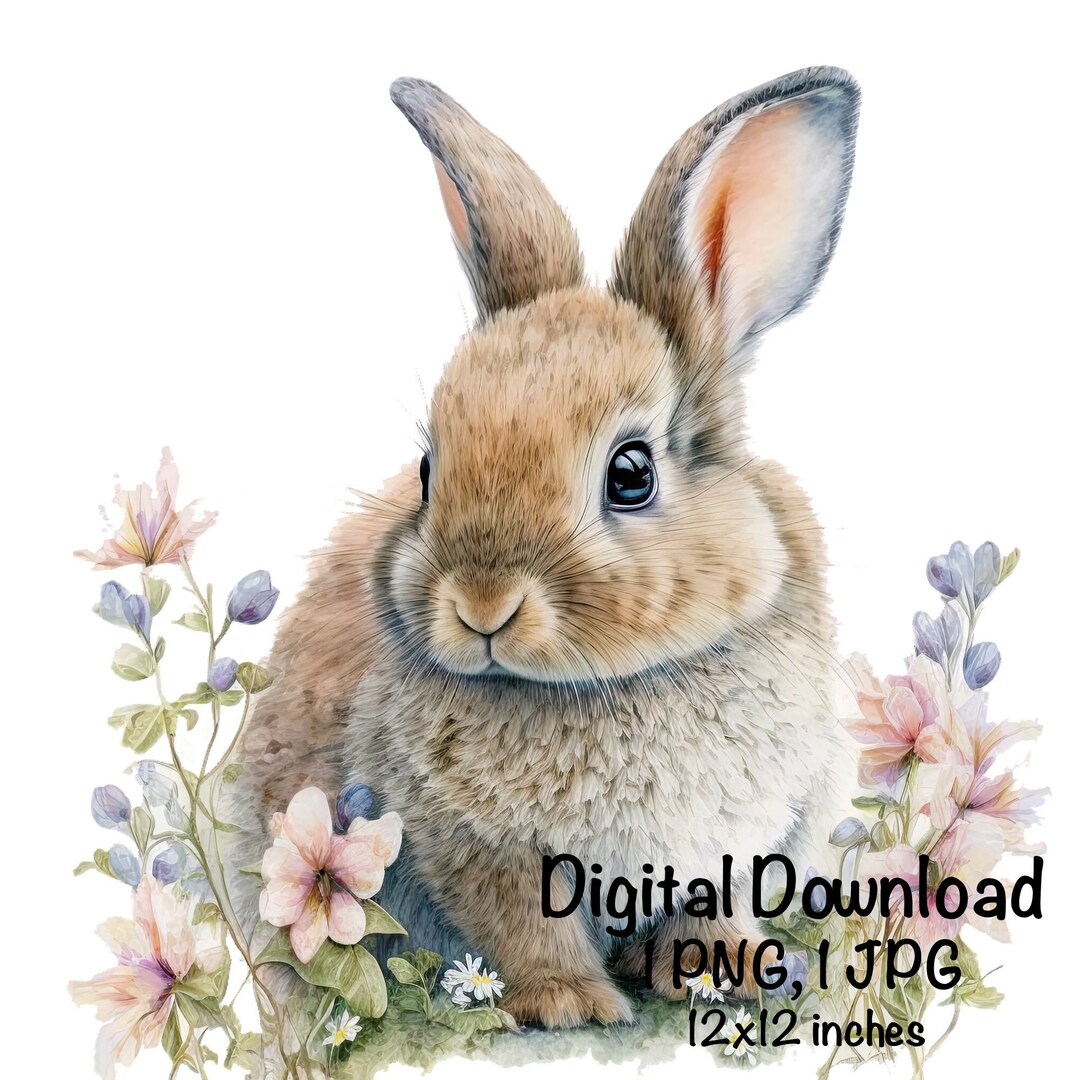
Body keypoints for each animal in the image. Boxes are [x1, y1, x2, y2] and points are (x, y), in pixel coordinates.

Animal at [227, 66, 861, 1032]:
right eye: (429, 469)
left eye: (631, 472)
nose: (481, 605)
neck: (598, 686)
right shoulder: (478, 852)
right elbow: (525, 929)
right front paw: (570, 1005)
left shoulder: (736, 840)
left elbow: (708, 908)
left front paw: (722, 973)